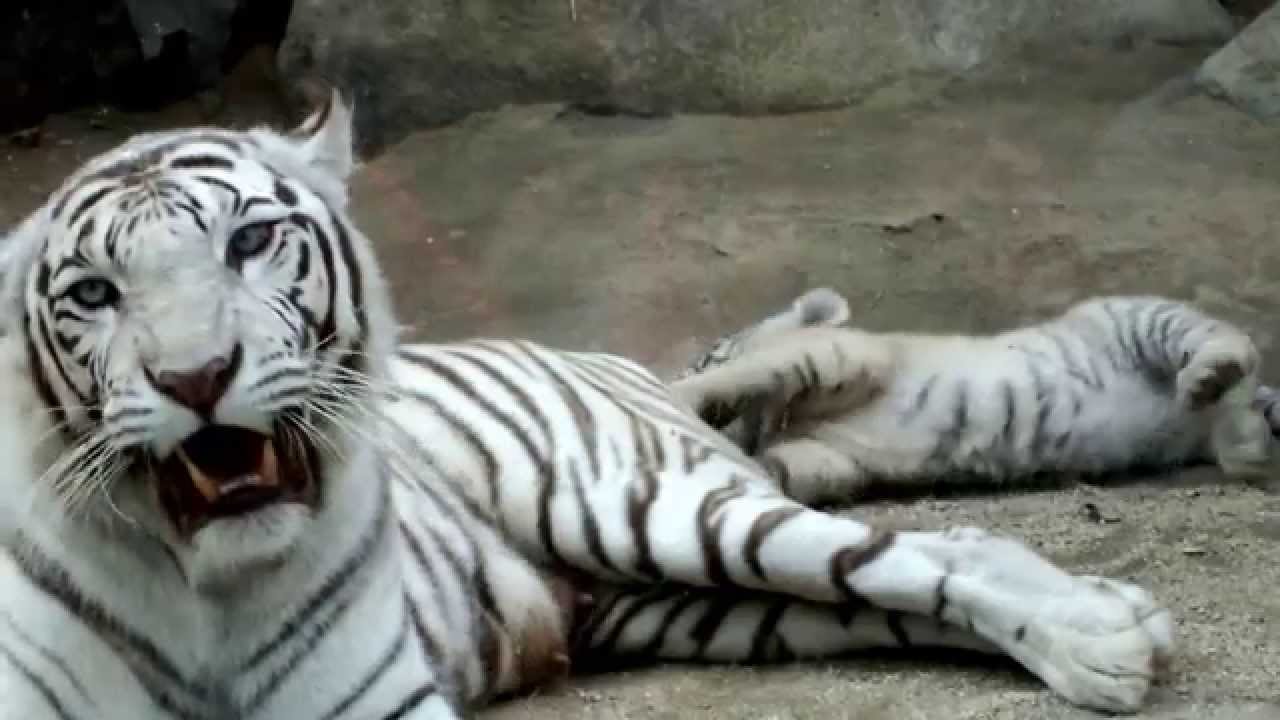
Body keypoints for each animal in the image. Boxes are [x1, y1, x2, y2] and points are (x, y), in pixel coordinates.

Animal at [0, 92, 1176, 719]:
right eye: (94, 294)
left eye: (248, 241)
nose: (196, 376)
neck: (204, 590)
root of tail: (624, 359)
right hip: (686, 604)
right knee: (911, 573)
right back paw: (1113, 624)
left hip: (634, 505)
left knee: (910, 552)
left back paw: (1109, 638)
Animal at [672, 286, 1278, 505]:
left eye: (707, 352)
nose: (692, 357)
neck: (783, 418)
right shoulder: (828, 458)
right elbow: (779, 467)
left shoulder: (848, 355)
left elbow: (748, 370)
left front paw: (678, 391)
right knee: (1242, 421)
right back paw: (1248, 445)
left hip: (1141, 319)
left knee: (1232, 342)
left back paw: (1207, 378)